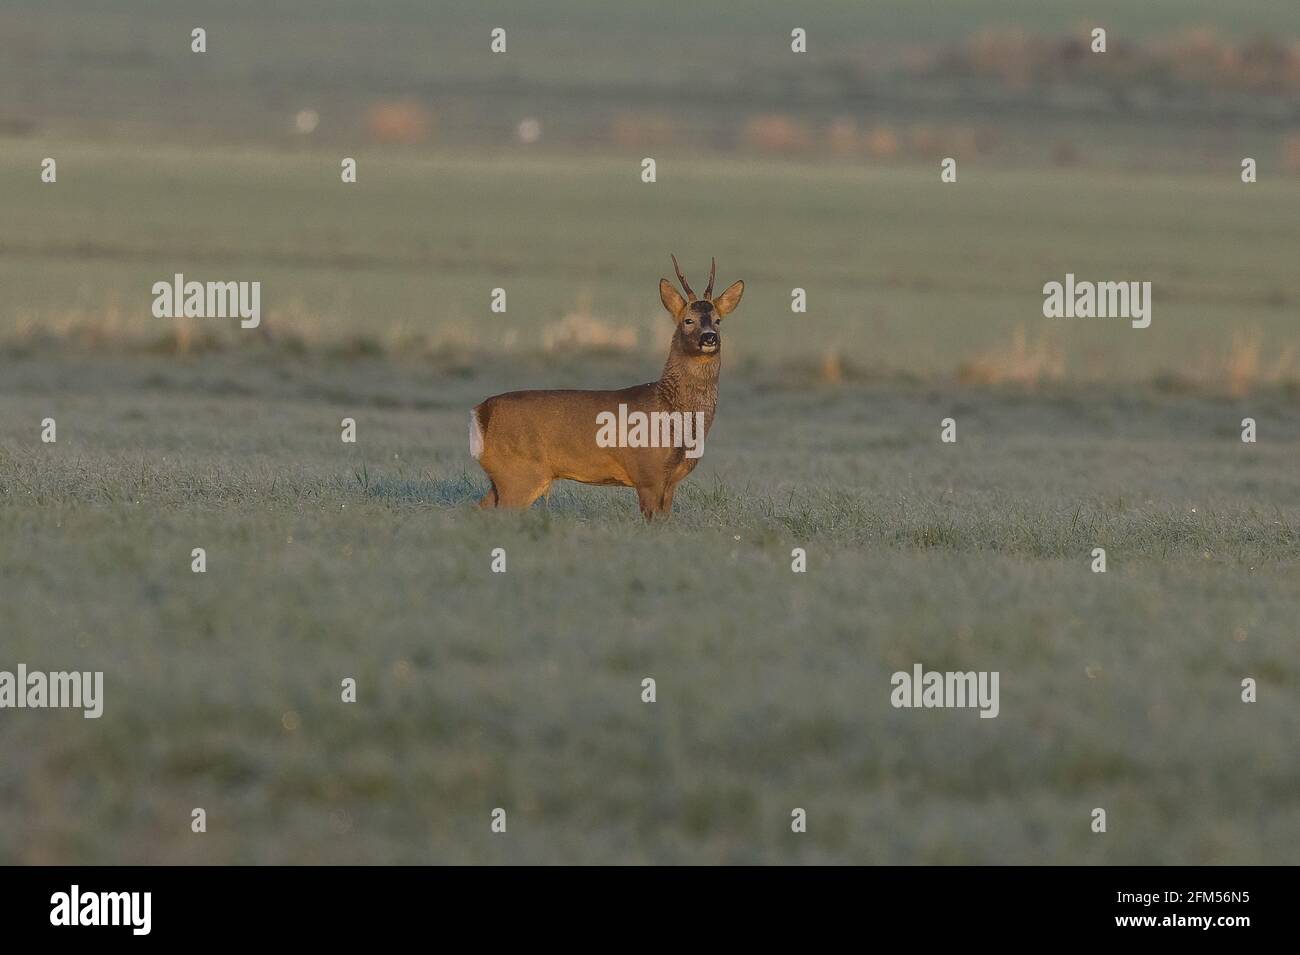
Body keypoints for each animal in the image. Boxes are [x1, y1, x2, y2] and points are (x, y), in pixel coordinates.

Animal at [469, 256, 744, 520]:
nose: (709, 337)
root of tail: (482, 411)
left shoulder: (670, 481)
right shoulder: (648, 473)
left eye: (718, 321)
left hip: (504, 476)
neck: (671, 412)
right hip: (519, 473)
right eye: (688, 320)